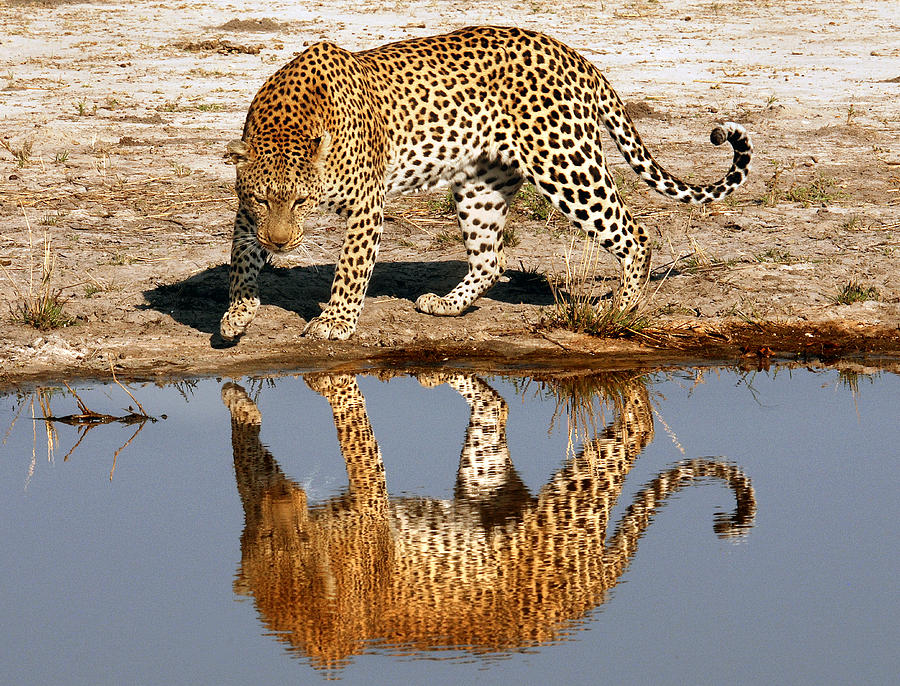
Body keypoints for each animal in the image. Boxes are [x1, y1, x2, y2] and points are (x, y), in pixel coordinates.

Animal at [220, 26, 753, 341]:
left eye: (301, 201)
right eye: (263, 199)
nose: (281, 242)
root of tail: (574, 55)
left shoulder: (366, 205)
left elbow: (350, 268)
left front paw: (334, 322)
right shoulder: (248, 215)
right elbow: (241, 260)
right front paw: (238, 313)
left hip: (567, 165)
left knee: (635, 235)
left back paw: (620, 311)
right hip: (481, 184)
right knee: (489, 258)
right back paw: (447, 305)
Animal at [222, 372, 756, 669]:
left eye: (303, 539)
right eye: (268, 534)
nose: (283, 499)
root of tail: (590, 597)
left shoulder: (370, 498)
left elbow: (350, 422)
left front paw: (325, 381)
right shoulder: (259, 498)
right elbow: (247, 461)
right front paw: (237, 399)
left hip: (570, 500)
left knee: (640, 427)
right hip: (484, 474)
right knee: (497, 405)